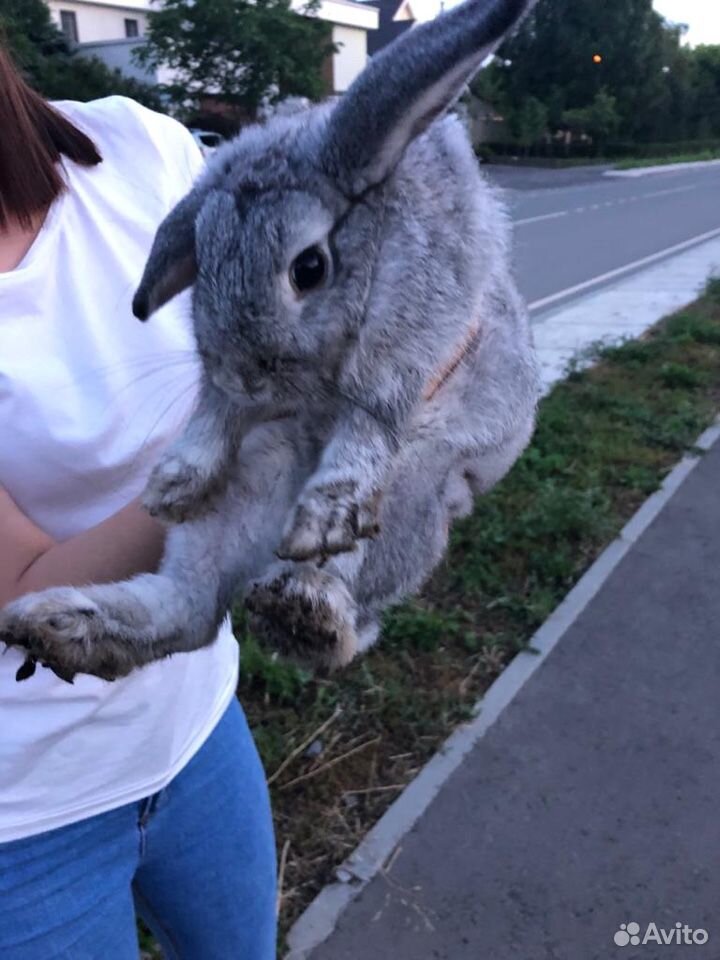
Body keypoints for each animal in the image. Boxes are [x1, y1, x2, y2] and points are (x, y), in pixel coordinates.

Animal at [1, 0, 540, 683]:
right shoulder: (225, 389)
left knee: (344, 610)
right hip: (243, 497)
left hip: (416, 492)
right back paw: (62, 625)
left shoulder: (405, 350)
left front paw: (323, 509)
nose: (247, 373)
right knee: (192, 608)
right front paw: (175, 483)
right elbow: (215, 411)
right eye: (202, 262)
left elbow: (369, 420)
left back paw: (306, 606)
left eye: (308, 268)